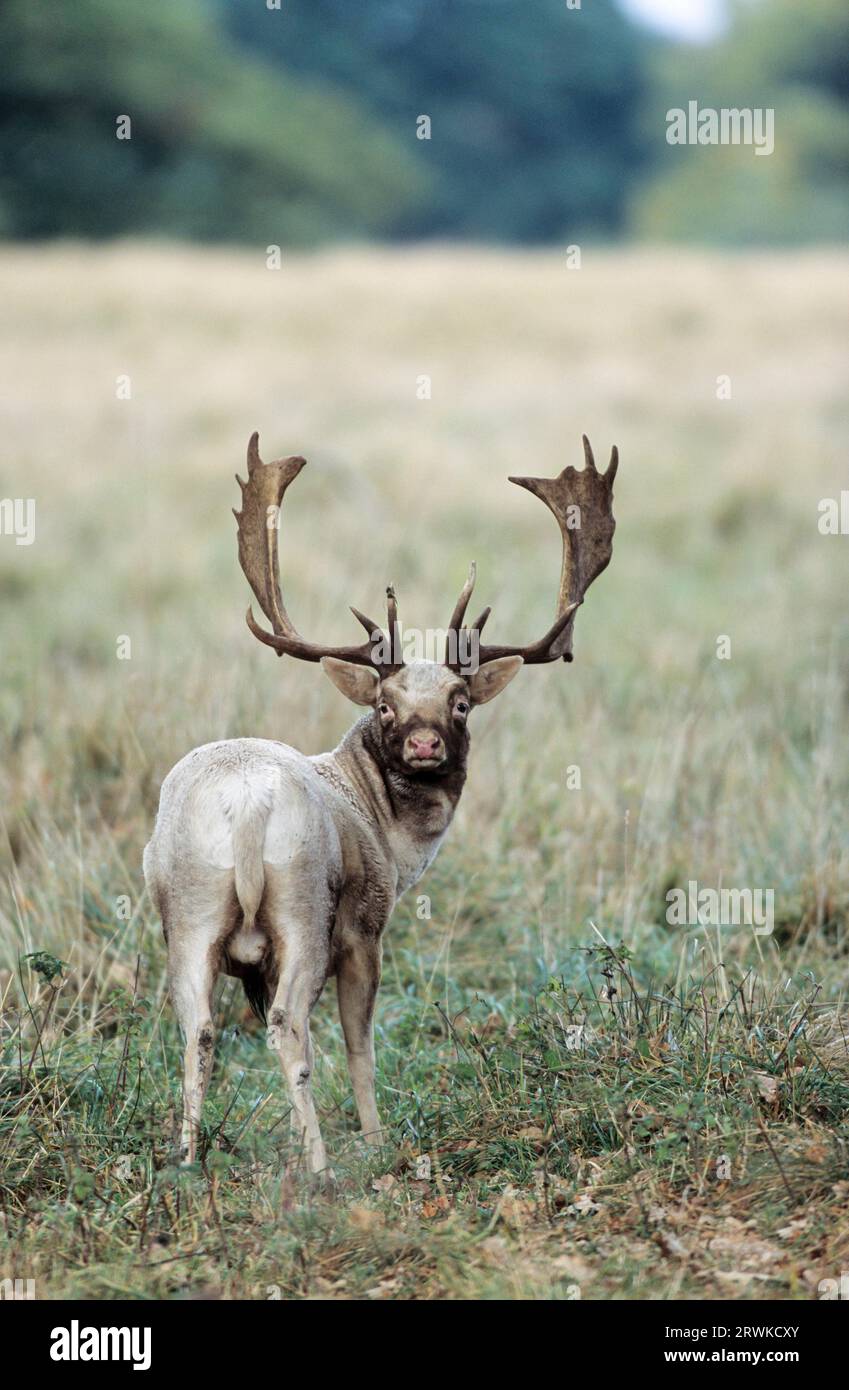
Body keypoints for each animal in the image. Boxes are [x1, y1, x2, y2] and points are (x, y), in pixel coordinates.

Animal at [143, 432, 618, 1176]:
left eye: (460, 701)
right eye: (385, 704)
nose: (425, 743)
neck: (393, 841)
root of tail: (246, 810)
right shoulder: (367, 926)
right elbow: (359, 1043)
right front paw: (375, 1138)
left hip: (185, 907)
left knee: (198, 1028)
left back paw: (189, 1158)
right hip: (303, 905)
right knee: (288, 1025)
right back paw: (321, 1167)